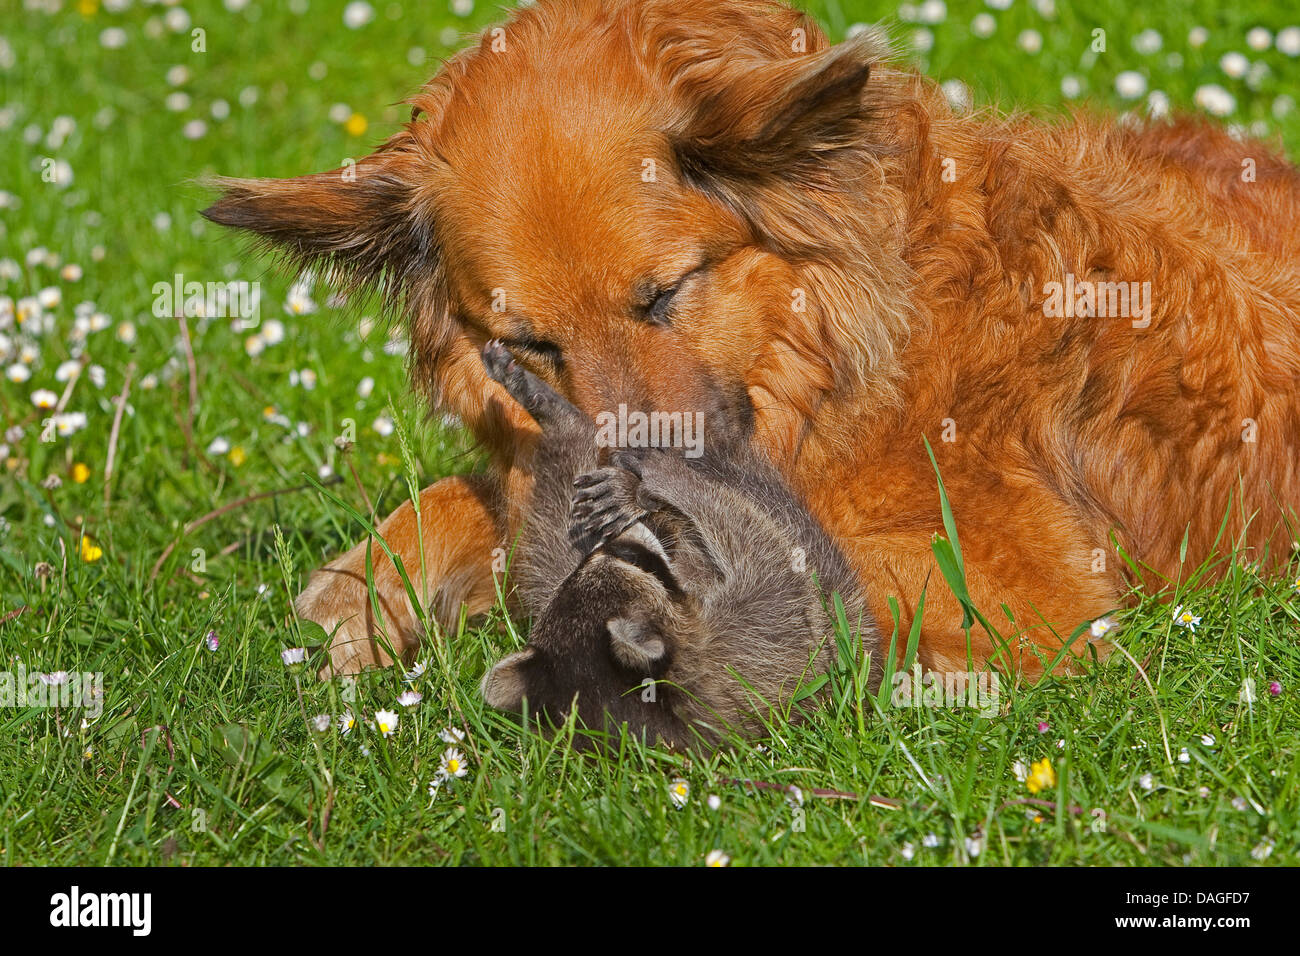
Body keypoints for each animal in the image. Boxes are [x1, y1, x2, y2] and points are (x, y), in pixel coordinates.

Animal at [478, 339, 879, 749]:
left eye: (611, 555)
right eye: (632, 559)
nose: (614, 539)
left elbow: (555, 536)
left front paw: (549, 409)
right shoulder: (747, 645)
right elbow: (766, 553)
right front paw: (670, 480)